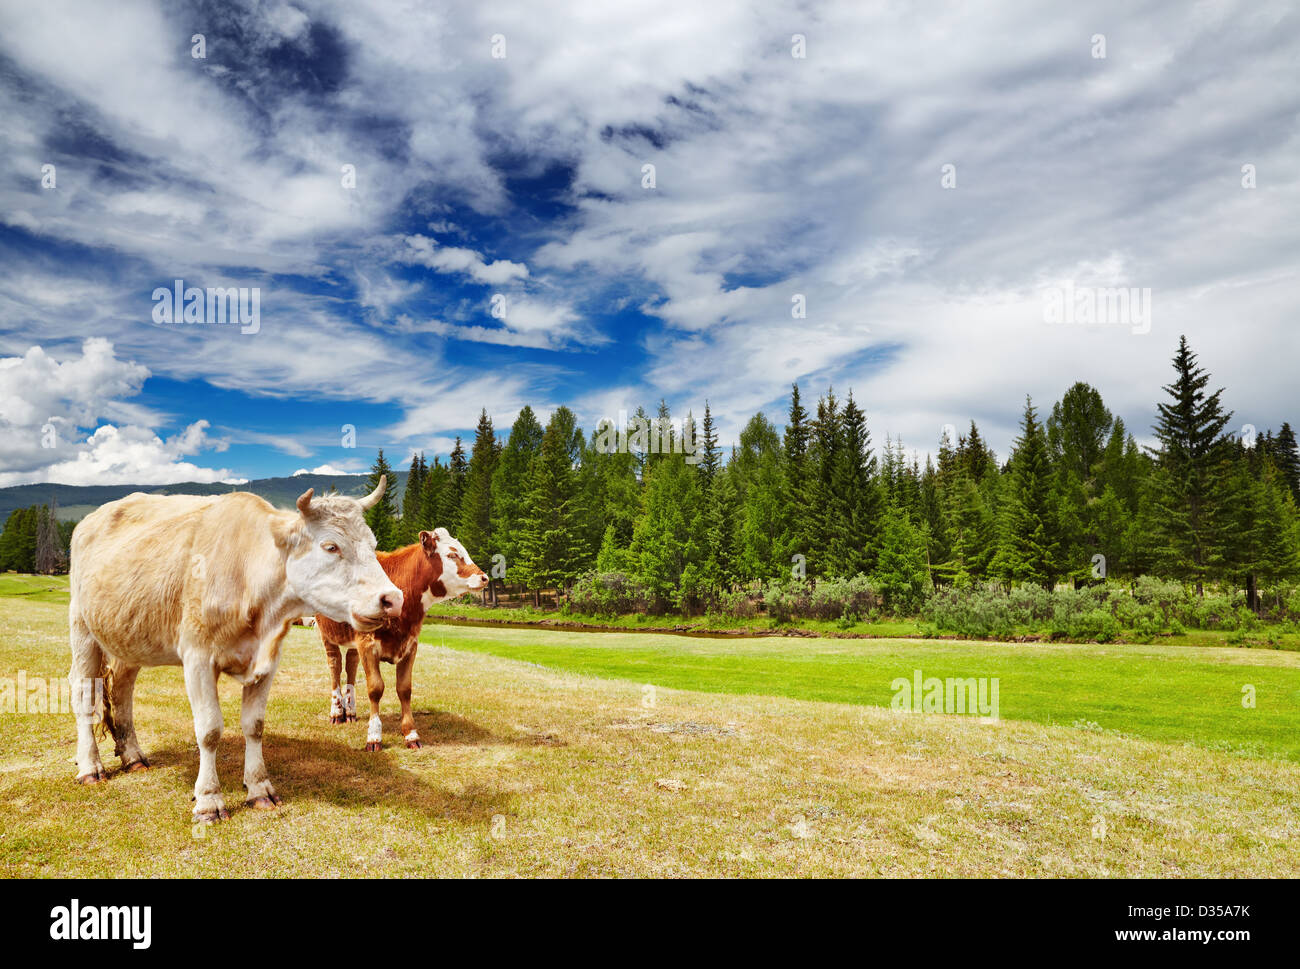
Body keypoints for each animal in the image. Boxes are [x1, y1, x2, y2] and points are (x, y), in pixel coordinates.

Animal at [67, 477, 403, 822]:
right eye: (331, 546)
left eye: (373, 544)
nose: (393, 598)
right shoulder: (198, 658)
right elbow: (209, 729)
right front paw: (209, 800)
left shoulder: (268, 661)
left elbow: (254, 726)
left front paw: (259, 788)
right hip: (82, 627)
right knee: (83, 694)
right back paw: (90, 767)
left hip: (129, 637)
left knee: (122, 690)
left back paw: (133, 756)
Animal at [316, 527, 487, 750]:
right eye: (451, 554)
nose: (484, 577)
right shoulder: (367, 643)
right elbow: (375, 688)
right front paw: (374, 736)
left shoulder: (410, 645)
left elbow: (404, 689)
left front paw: (411, 734)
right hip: (327, 634)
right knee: (334, 666)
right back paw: (336, 712)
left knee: (351, 664)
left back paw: (350, 711)